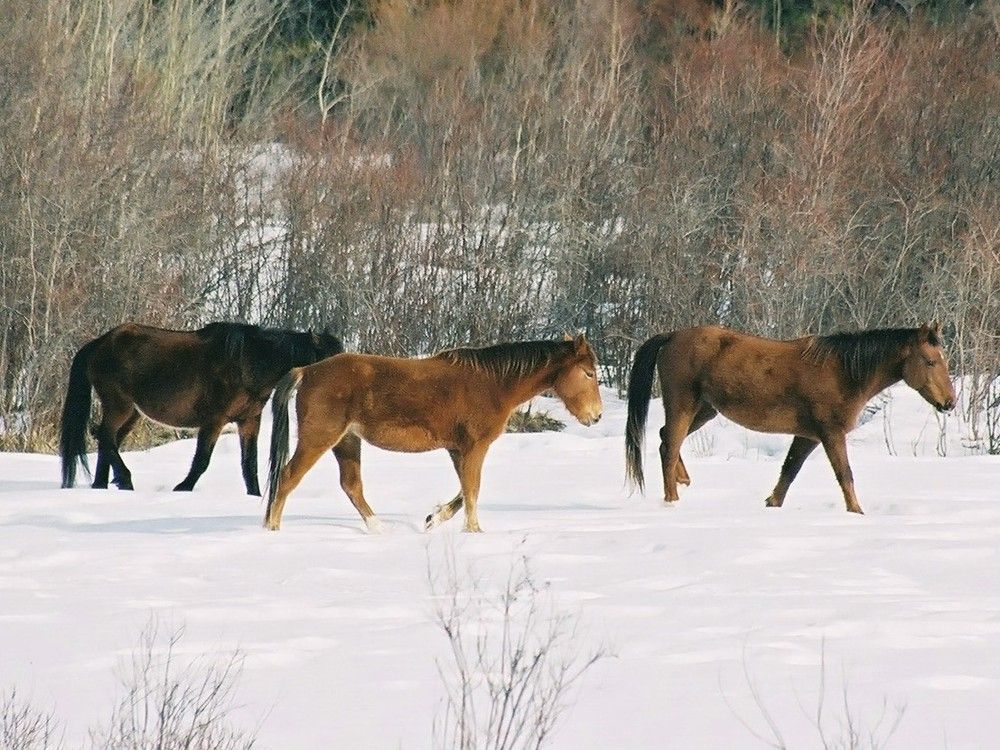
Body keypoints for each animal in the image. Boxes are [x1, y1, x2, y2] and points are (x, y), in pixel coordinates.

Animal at [60, 322, 343, 495]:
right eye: (329, 359)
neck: (248, 362)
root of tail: (100, 342)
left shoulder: (249, 421)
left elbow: (249, 463)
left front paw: (254, 495)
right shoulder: (213, 420)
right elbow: (202, 460)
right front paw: (183, 488)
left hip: (131, 412)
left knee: (107, 441)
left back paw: (102, 485)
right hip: (119, 404)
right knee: (105, 436)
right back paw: (124, 480)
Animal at [264, 334, 603, 533]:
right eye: (588, 373)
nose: (596, 415)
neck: (493, 384)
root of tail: (306, 371)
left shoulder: (457, 449)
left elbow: (464, 491)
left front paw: (435, 518)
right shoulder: (475, 446)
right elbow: (473, 490)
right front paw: (474, 531)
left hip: (346, 441)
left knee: (351, 485)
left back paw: (378, 528)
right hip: (319, 438)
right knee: (288, 477)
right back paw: (272, 528)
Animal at [624, 324, 956, 514]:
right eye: (930, 361)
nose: (949, 403)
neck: (844, 372)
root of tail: (671, 336)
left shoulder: (808, 436)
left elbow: (789, 472)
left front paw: (772, 504)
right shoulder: (831, 433)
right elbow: (845, 475)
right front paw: (857, 512)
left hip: (705, 409)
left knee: (666, 438)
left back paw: (683, 481)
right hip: (684, 404)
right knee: (669, 447)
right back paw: (672, 501)